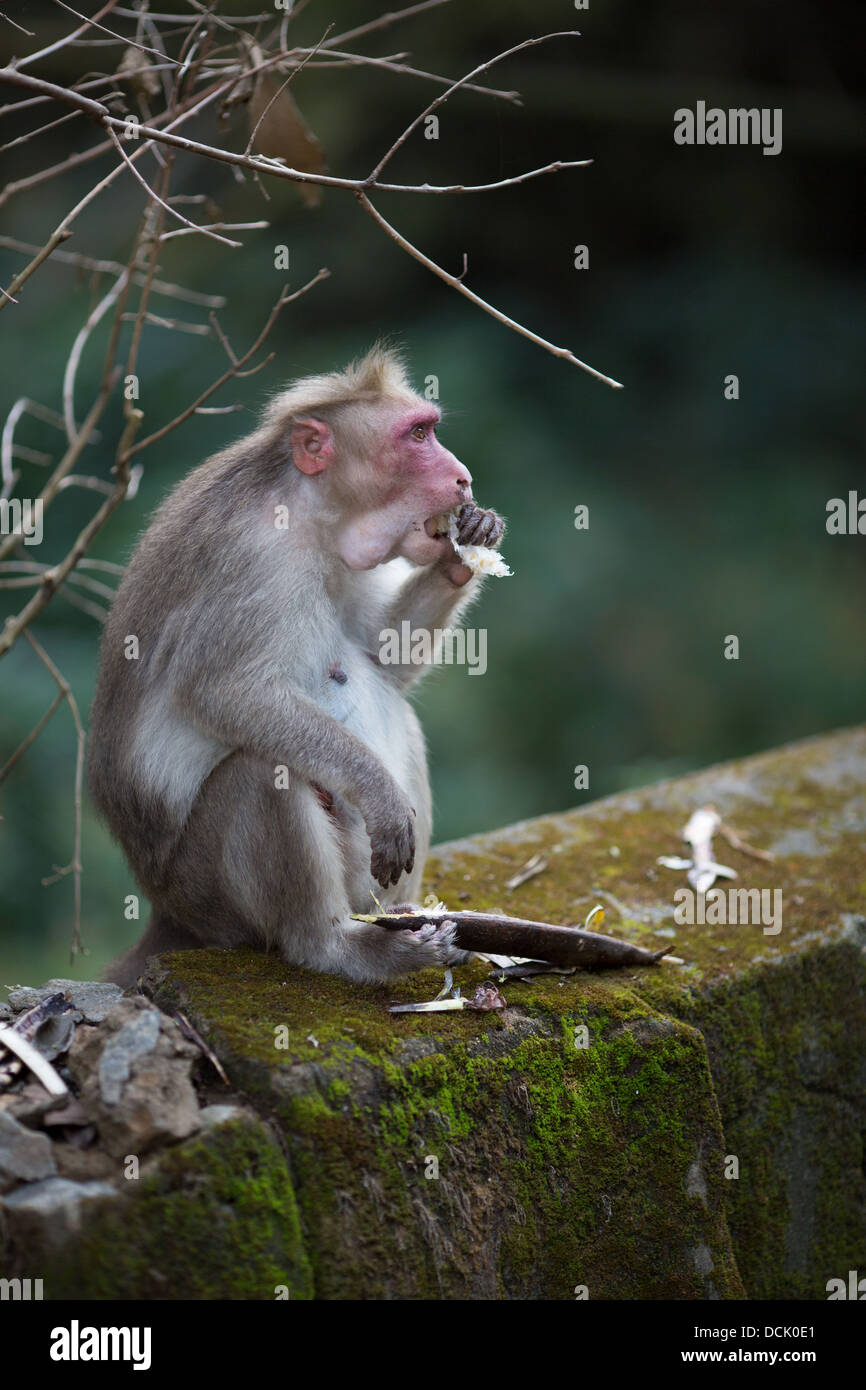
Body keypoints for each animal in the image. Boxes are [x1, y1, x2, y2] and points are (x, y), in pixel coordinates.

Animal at [87, 347, 505, 987]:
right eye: (417, 436)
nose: (462, 477)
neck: (315, 518)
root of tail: (166, 911)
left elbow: (382, 653)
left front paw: (466, 548)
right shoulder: (252, 558)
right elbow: (225, 693)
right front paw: (380, 794)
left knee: (396, 710)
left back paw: (398, 916)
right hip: (207, 895)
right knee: (262, 770)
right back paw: (337, 947)